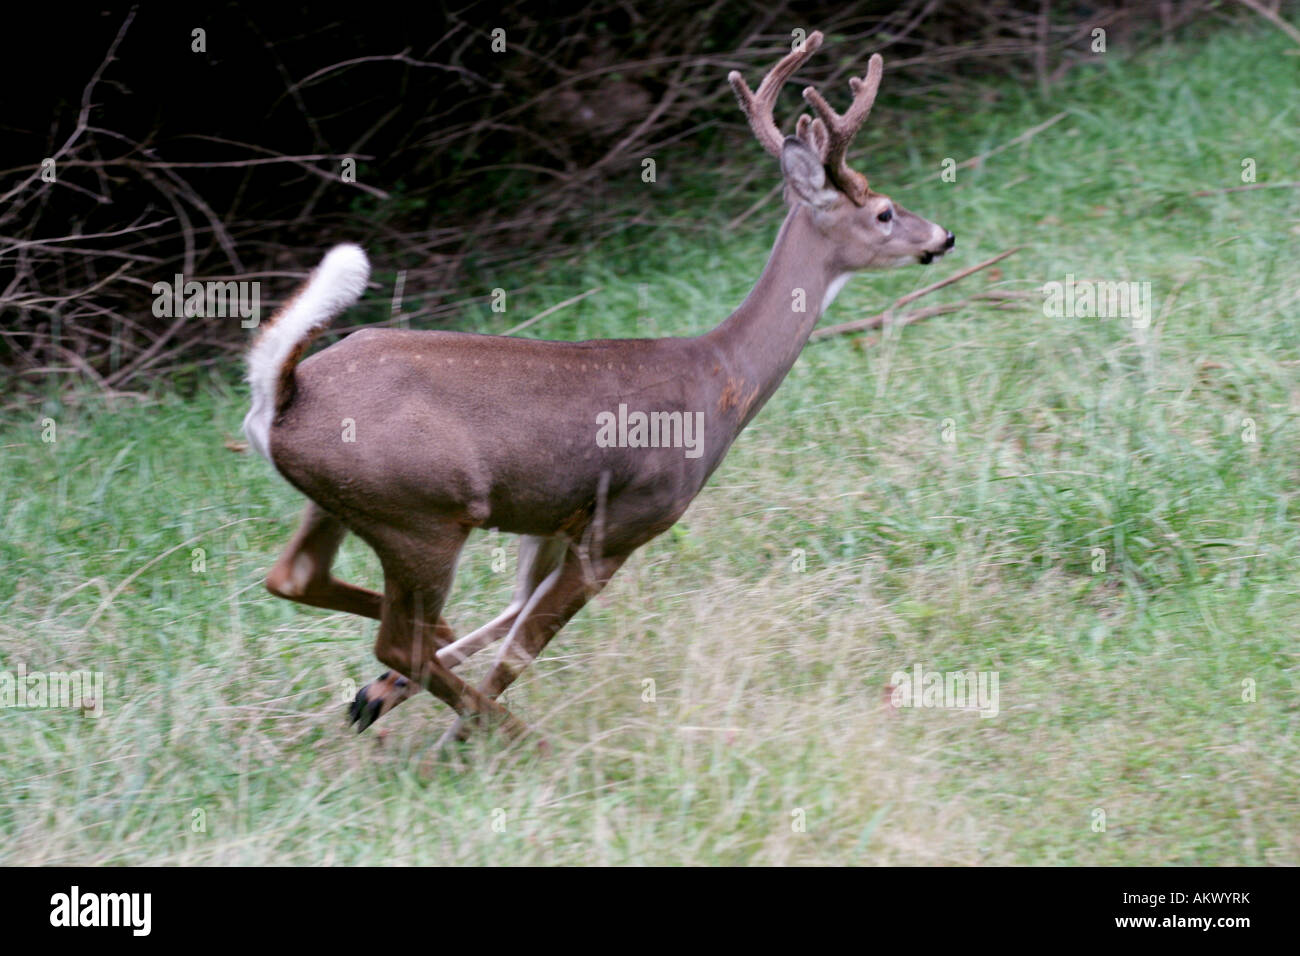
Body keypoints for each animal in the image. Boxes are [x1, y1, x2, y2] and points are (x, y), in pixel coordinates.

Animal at [242, 31, 954, 751]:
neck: (721, 374)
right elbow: (522, 645)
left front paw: (378, 698)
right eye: (884, 211)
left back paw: (423, 676)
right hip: (423, 512)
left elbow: (511, 611)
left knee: (296, 578)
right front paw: (448, 735)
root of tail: (282, 395)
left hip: (351, 502)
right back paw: (512, 735)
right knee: (396, 636)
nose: (943, 236)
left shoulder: (553, 517)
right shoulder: (625, 522)